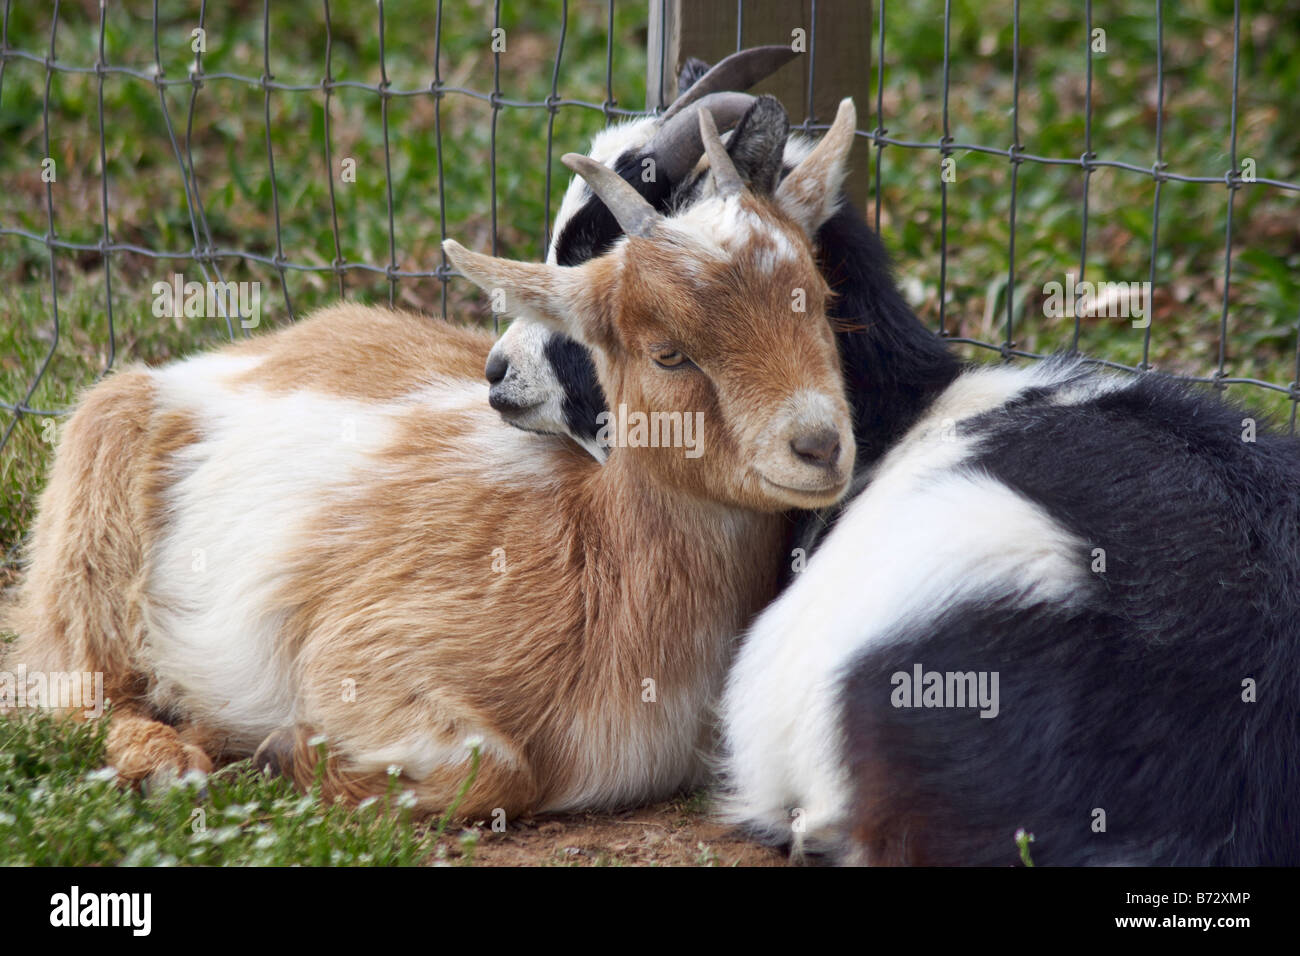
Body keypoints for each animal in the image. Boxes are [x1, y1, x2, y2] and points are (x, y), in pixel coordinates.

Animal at [4, 103, 860, 819]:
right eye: (668, 351)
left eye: (818, 301)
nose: (819, 446)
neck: (600, 547)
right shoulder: (363, 651)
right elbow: (494, 770)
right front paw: (289, 753)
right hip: (94, 523)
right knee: (70, 688)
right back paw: (167, 758)